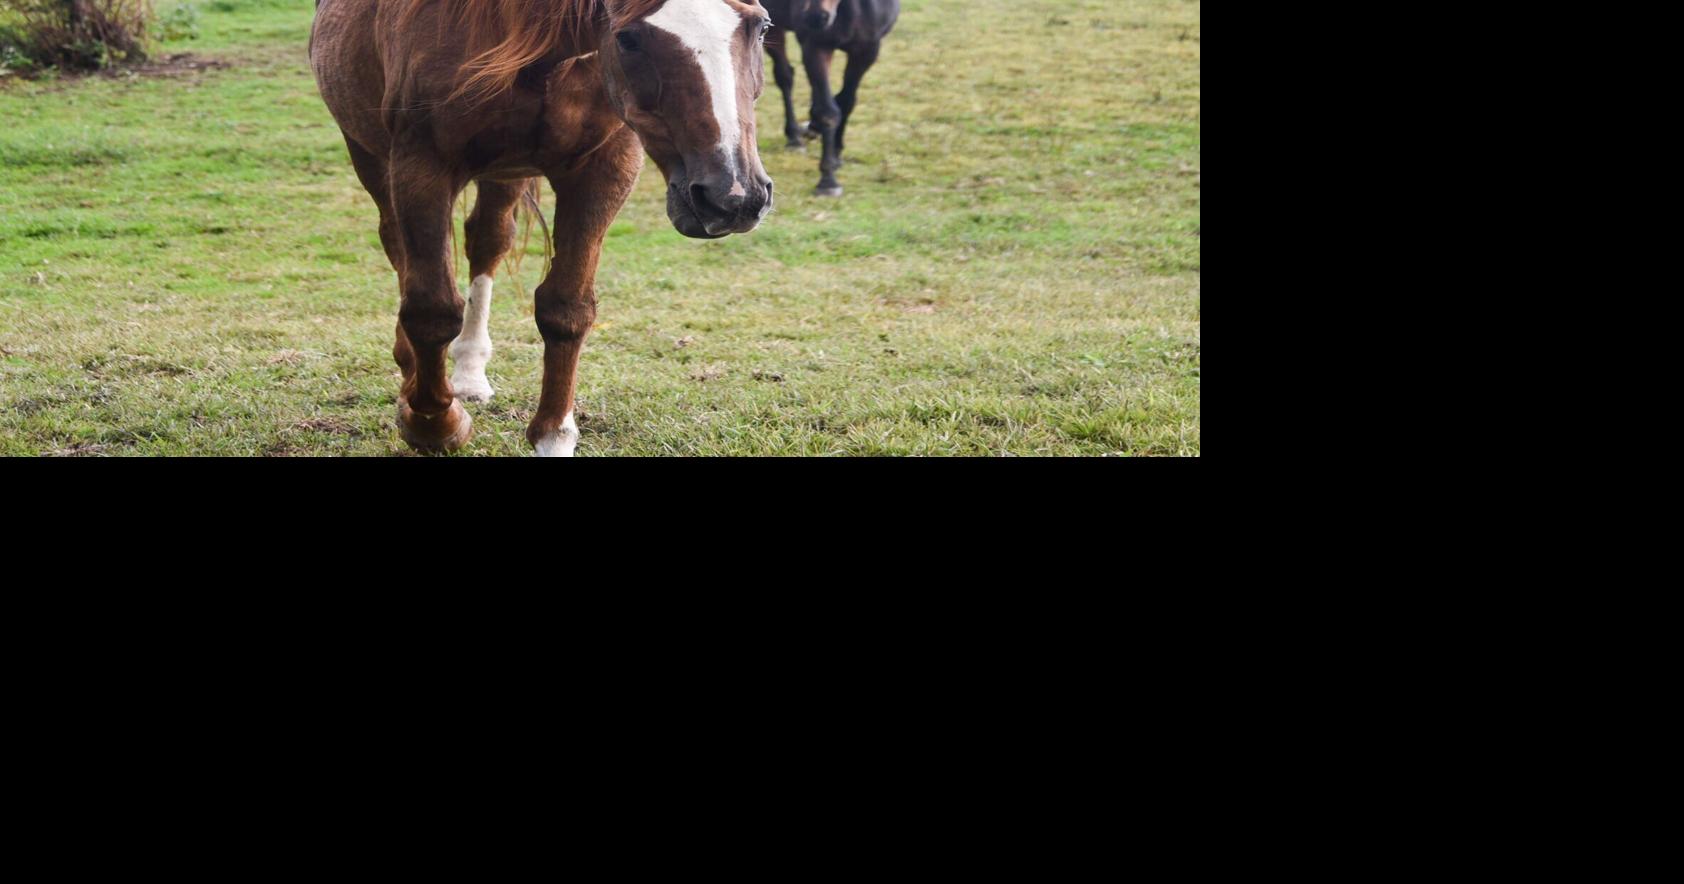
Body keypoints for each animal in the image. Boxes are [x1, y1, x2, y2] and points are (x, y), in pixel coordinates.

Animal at [310, 0, 775, 456]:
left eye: (761, 27)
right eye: (628, 38)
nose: (733, 194)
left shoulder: (604, 166)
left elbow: (566, 308)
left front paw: (553, 435)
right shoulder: (420, 166)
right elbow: (430, 310)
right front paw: (434, 425)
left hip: (504, 173)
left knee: (488, 240)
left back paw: (469, 372)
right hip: (371, 156)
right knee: (400, 249)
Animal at [761, 0, 899, 196]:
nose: (815, 16)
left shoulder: (867, 50)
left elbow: (846, 101)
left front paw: (836, 153)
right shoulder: (817, 45)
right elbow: (828, 111)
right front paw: (828, 181)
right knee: (785, 76)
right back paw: (795, 137)